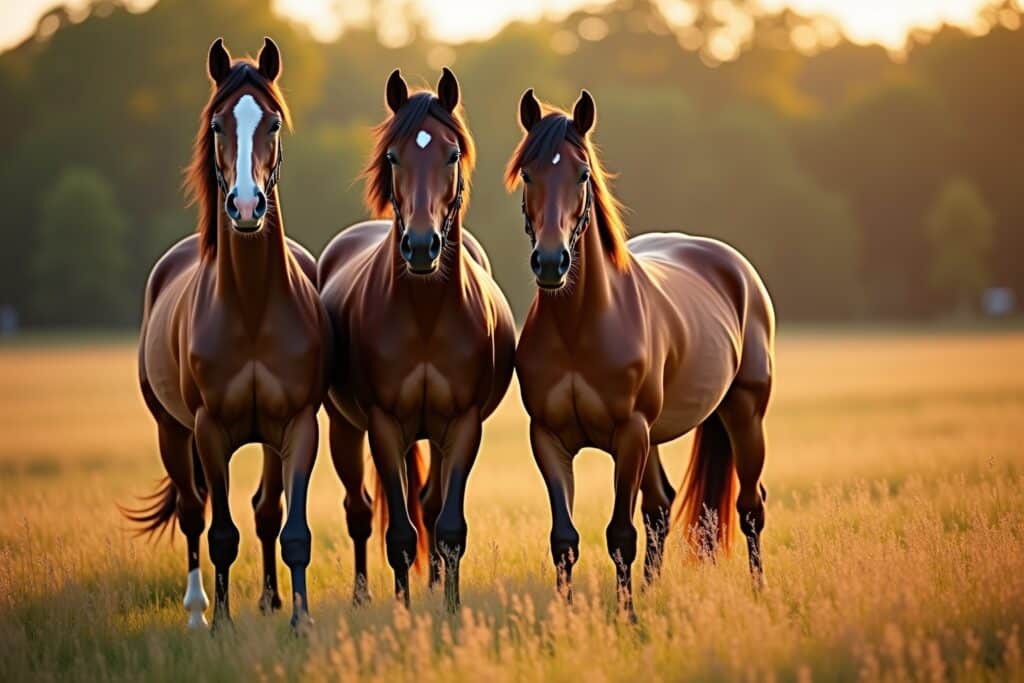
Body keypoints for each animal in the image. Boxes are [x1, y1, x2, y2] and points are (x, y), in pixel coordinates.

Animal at [126, 37, 331, 631]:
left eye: (273, 123)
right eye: (218, 124)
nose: (244, 205)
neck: (252, 307)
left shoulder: (299, 425)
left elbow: (291, 528)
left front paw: (299, 619)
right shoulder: (208, 430)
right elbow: (219, 533)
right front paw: (220, 624)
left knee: (264, 511)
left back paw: (269, 599)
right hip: (172, 433)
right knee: (193, 513)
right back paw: (196, 613)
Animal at [318, 68, 515, 611]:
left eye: (451, 154)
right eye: (393, 156)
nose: (422, 246)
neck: (426, 315)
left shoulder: (464, 425)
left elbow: (447, 527)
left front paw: (449, 608)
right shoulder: (383, 424)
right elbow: (400, 536)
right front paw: (405, 613)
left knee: (426, 504)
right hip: (345, 429)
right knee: (360, 510)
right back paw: (362, 595)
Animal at [506, 89, 775, 616]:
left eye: (582, 174)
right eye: (528, 173)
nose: (551, 262)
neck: (579, 326)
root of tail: (735, 269)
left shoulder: (629, 435)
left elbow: (619, 535)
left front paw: (627, 617)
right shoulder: (548, 437)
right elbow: (564, 538)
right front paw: (570, 618)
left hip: (743, 413)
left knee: (751, 507)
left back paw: (758, 591)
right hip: (655, 435)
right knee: (660, 507)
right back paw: (652, 591)